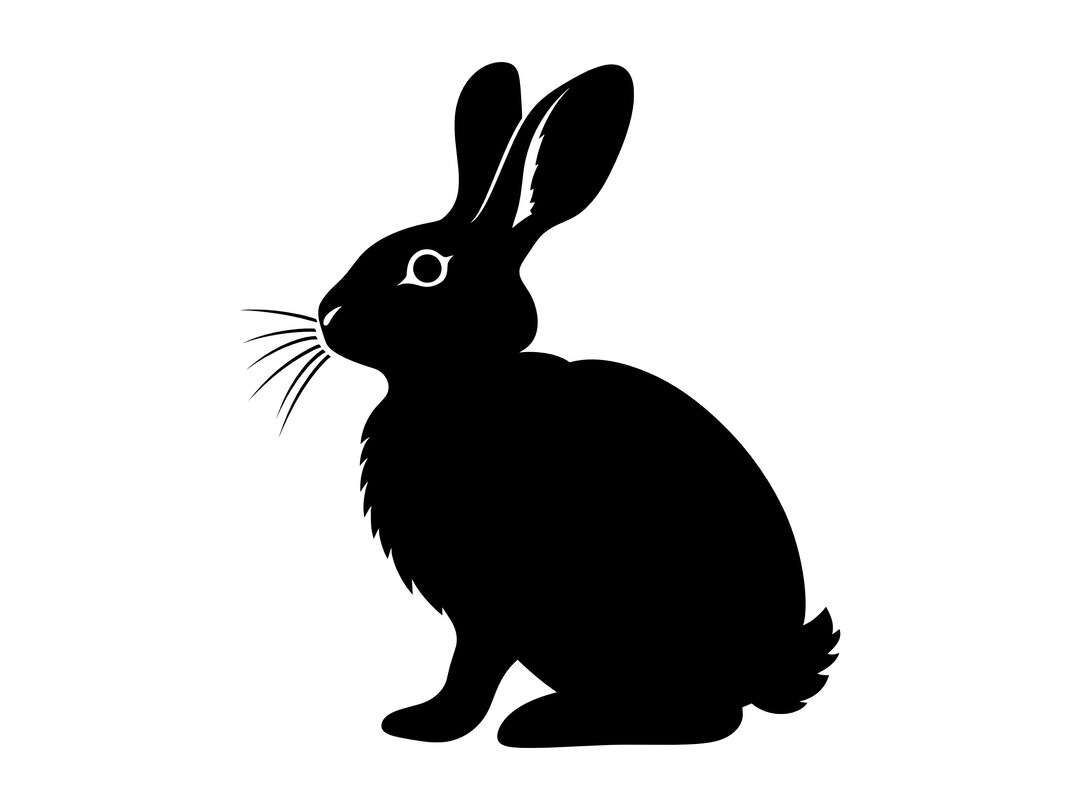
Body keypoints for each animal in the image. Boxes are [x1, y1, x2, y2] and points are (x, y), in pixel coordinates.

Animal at [312, 63, 838, 747]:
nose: (328, 314)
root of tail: (767, 668)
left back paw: (544, 724)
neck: (461, 380)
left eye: (426, 269)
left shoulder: (489, 598)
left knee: (705, 718)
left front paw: (427, 725)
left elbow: (471, 667)